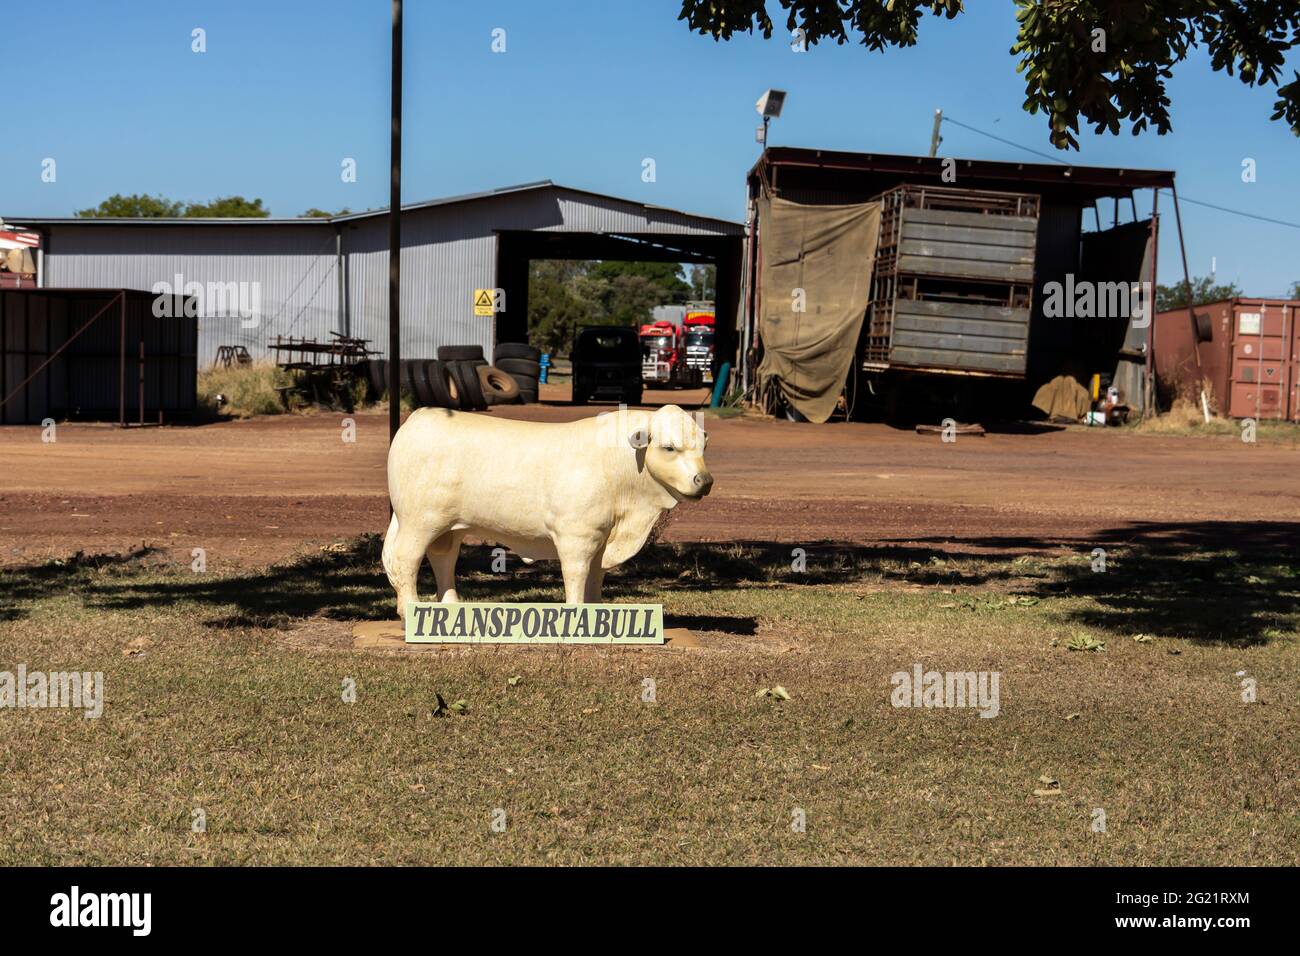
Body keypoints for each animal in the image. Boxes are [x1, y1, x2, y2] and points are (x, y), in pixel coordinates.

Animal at [381, 403, 713, 616]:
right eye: (669, 447)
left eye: (703, 447)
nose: (705, 480)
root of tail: (419, 417)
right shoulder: (576, 535)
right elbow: (577, 572)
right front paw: (577, 614)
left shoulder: (602, 537)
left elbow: (596, 574)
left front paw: (597, 612)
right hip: (418, 522)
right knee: (406, 559)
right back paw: (410, 609)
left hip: (448, 526)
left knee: (443, 559)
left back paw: (451, 607)